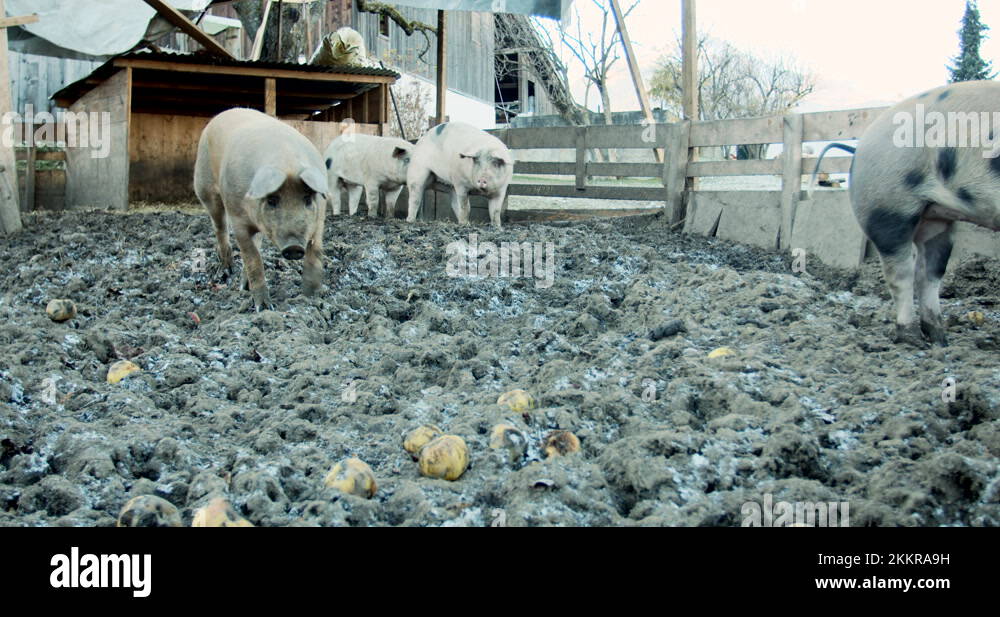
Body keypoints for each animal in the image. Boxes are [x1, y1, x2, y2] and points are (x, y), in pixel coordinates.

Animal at [193, 108, 329, 311]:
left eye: (307, 199)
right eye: (272, 200)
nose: (294, 247)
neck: (286, 162)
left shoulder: (320, 218)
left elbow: (315, 251)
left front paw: (311, 297)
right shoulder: (238, 219)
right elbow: (253, 259)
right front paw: (264, 308)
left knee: (255, 239)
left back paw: (244, 285)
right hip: (205, 188)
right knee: (220, 228)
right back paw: (226, 272)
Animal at [825, 80, 1000, 345]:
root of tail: (863, 142)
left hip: (936, 217)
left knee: (928, 273)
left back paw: (939, 339)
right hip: (886, 206)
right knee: (901, 273)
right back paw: (911, 338)